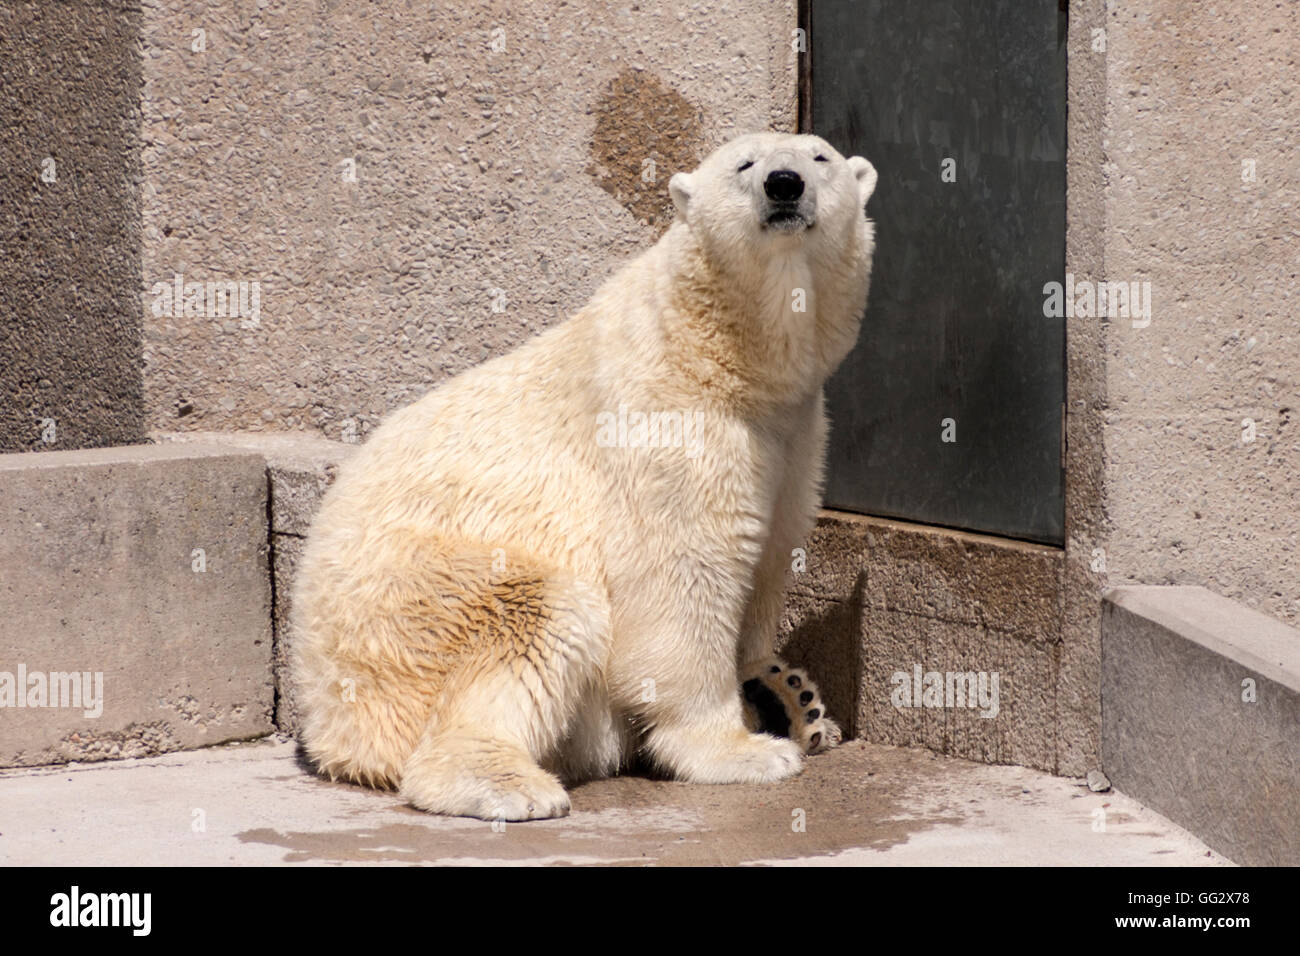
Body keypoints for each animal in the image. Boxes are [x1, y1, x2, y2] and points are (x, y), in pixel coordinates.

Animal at [290, 131, 878, 821]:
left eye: (820, 158)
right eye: (745, 163)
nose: (784, 184)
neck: (715, 350)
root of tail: (323, 712)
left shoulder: (794, 437)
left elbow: (767, 559)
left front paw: (773, 688)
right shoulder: (666, 430)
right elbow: (682, 581)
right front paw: (739, 751)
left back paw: (795, 699)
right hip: (404, 612)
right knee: (532, 614)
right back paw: (508, 783)